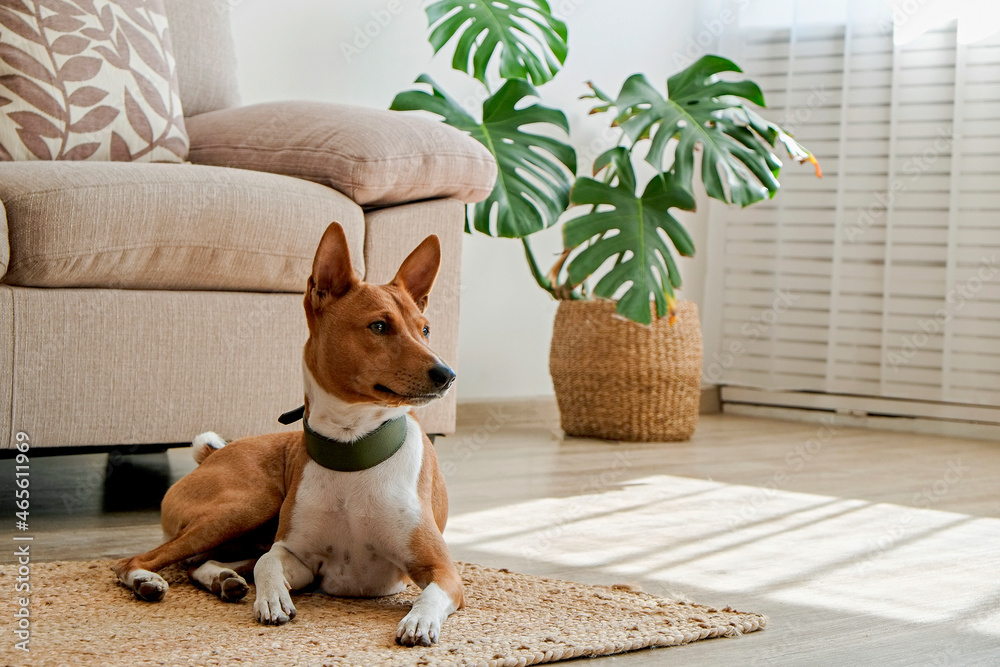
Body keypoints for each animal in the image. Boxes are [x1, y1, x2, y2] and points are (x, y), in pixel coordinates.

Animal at [111, 223, 462, 648]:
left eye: (425, 329)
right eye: (379, 326)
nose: (447, 374)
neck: (352, 450)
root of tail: (212, 454)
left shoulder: (442, 569)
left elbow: (430, 595)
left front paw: (419, 621)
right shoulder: (297, 556)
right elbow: (268, 562)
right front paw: (272, 598)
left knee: (199, 563)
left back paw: (223, 580)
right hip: (247, 505)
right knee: (133, 560)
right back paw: (148, 580)